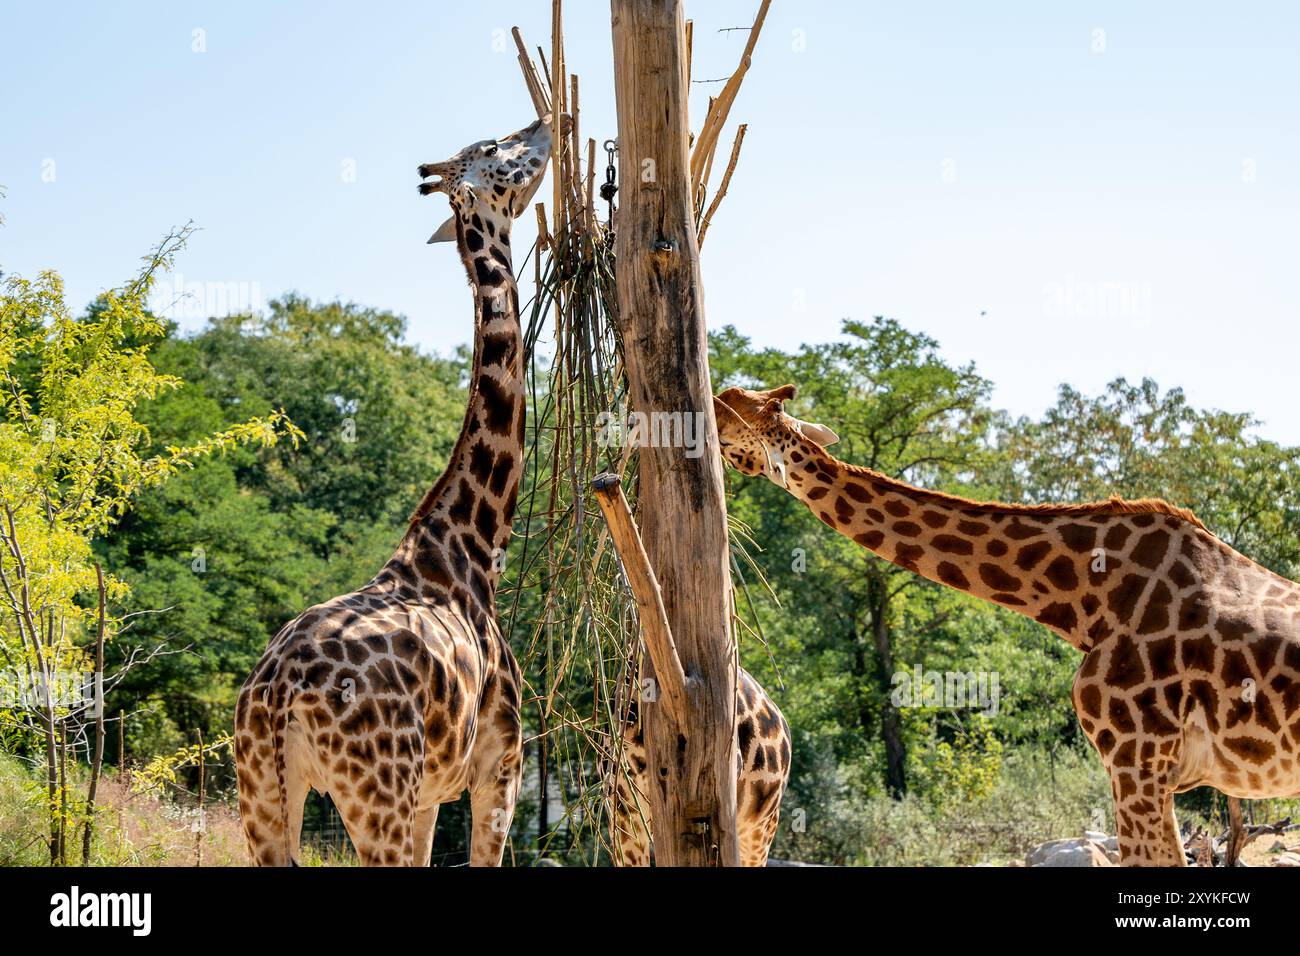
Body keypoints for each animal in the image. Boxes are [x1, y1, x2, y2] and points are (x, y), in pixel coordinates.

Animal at [233, 115, 560, 867]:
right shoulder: (500, 766)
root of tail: (278, 693)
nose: (545, 124)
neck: (472, 542)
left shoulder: (431, 793)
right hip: (375, 788)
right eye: (496, 149)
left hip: (262, 792)